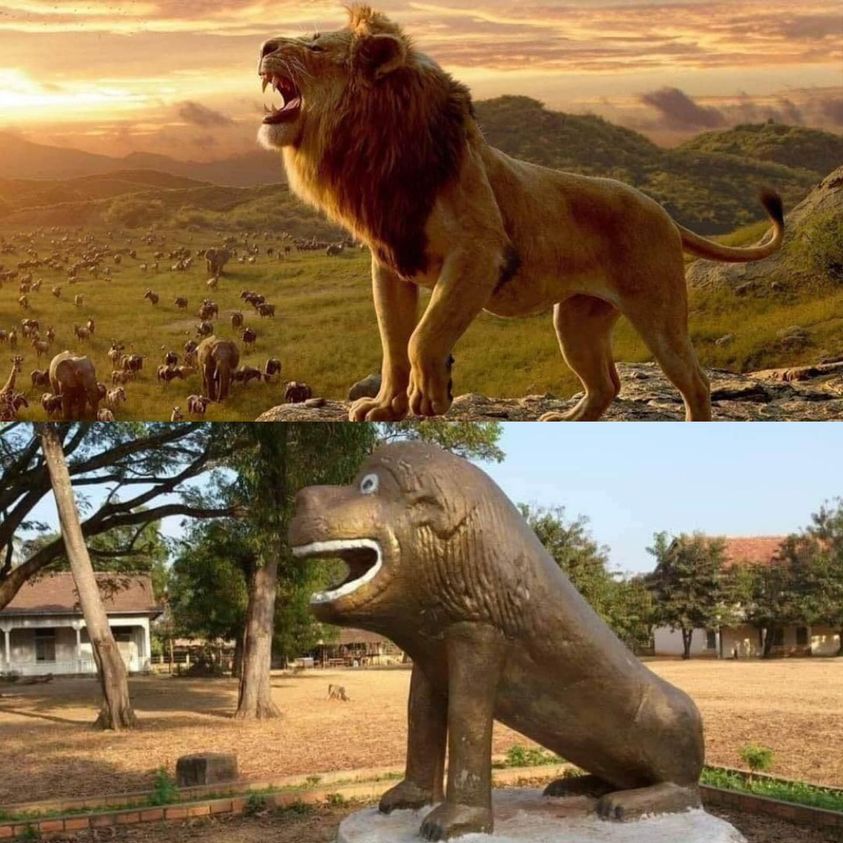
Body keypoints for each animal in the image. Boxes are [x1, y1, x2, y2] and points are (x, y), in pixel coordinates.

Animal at [257, 5, 784, 422]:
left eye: (315, 46)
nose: (263, 44)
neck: (373, 151)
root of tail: (664, 212)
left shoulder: (480, 253)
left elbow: (422, 336)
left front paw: (430, 397)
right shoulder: (389, 261)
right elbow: (392, 343)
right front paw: (386, 406)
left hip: (659, 315)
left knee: (694, 379)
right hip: (575, 321)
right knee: (606, 384)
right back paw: (565, 420)